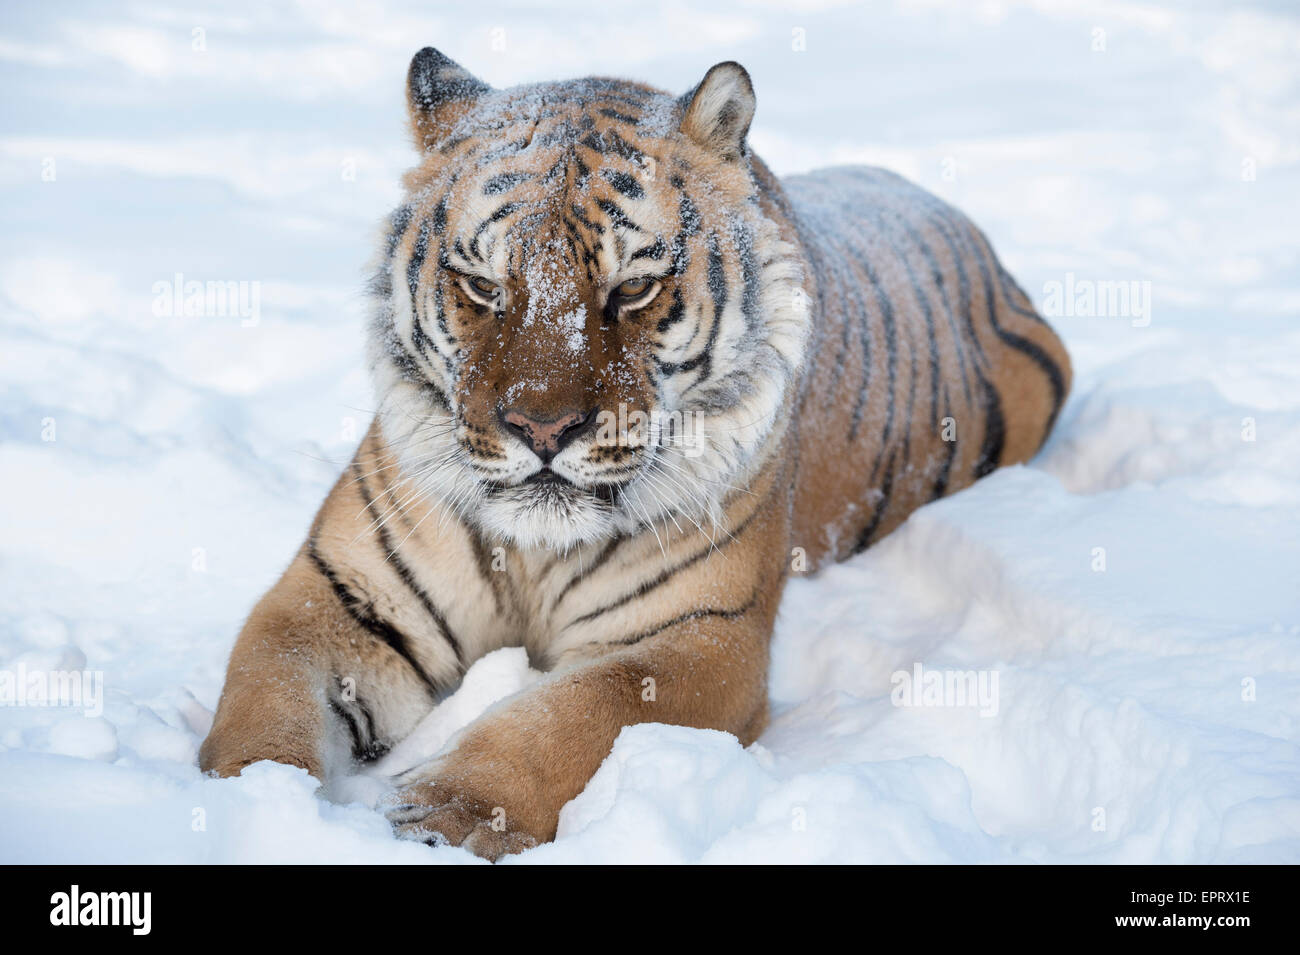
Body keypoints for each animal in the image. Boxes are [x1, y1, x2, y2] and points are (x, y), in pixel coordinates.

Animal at [199, 48, 1071, 859]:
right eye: (482, 286)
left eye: (633, 289)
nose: (542, 428)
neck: (533, 554)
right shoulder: (341, 594)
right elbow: (264, 699)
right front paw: (248, 805)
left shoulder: (703, 636)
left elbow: (583, 708)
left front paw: (446, 811)